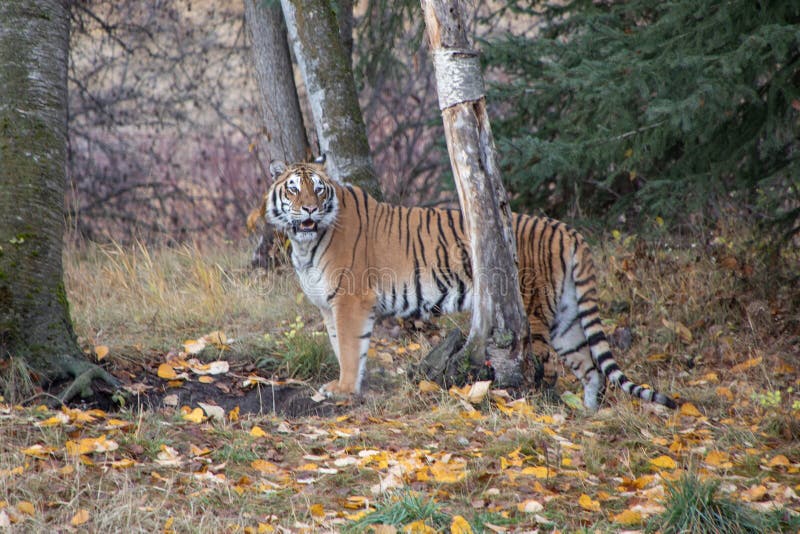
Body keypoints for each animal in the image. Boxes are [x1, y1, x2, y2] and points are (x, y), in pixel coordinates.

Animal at [257, 159, 676, 410]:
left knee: (543, 367)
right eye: (293, 189)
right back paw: (589, 413)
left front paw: (343, 389)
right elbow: (340, 346)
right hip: (567, 319)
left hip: (535, 315)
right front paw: (346, 387)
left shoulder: (350, 300)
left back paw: (534, 407)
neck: (306, 243)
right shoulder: (328, 305)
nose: (310, 209)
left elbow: (347, 349)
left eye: (319, 189)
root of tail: (565, 229)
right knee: (591, 369)